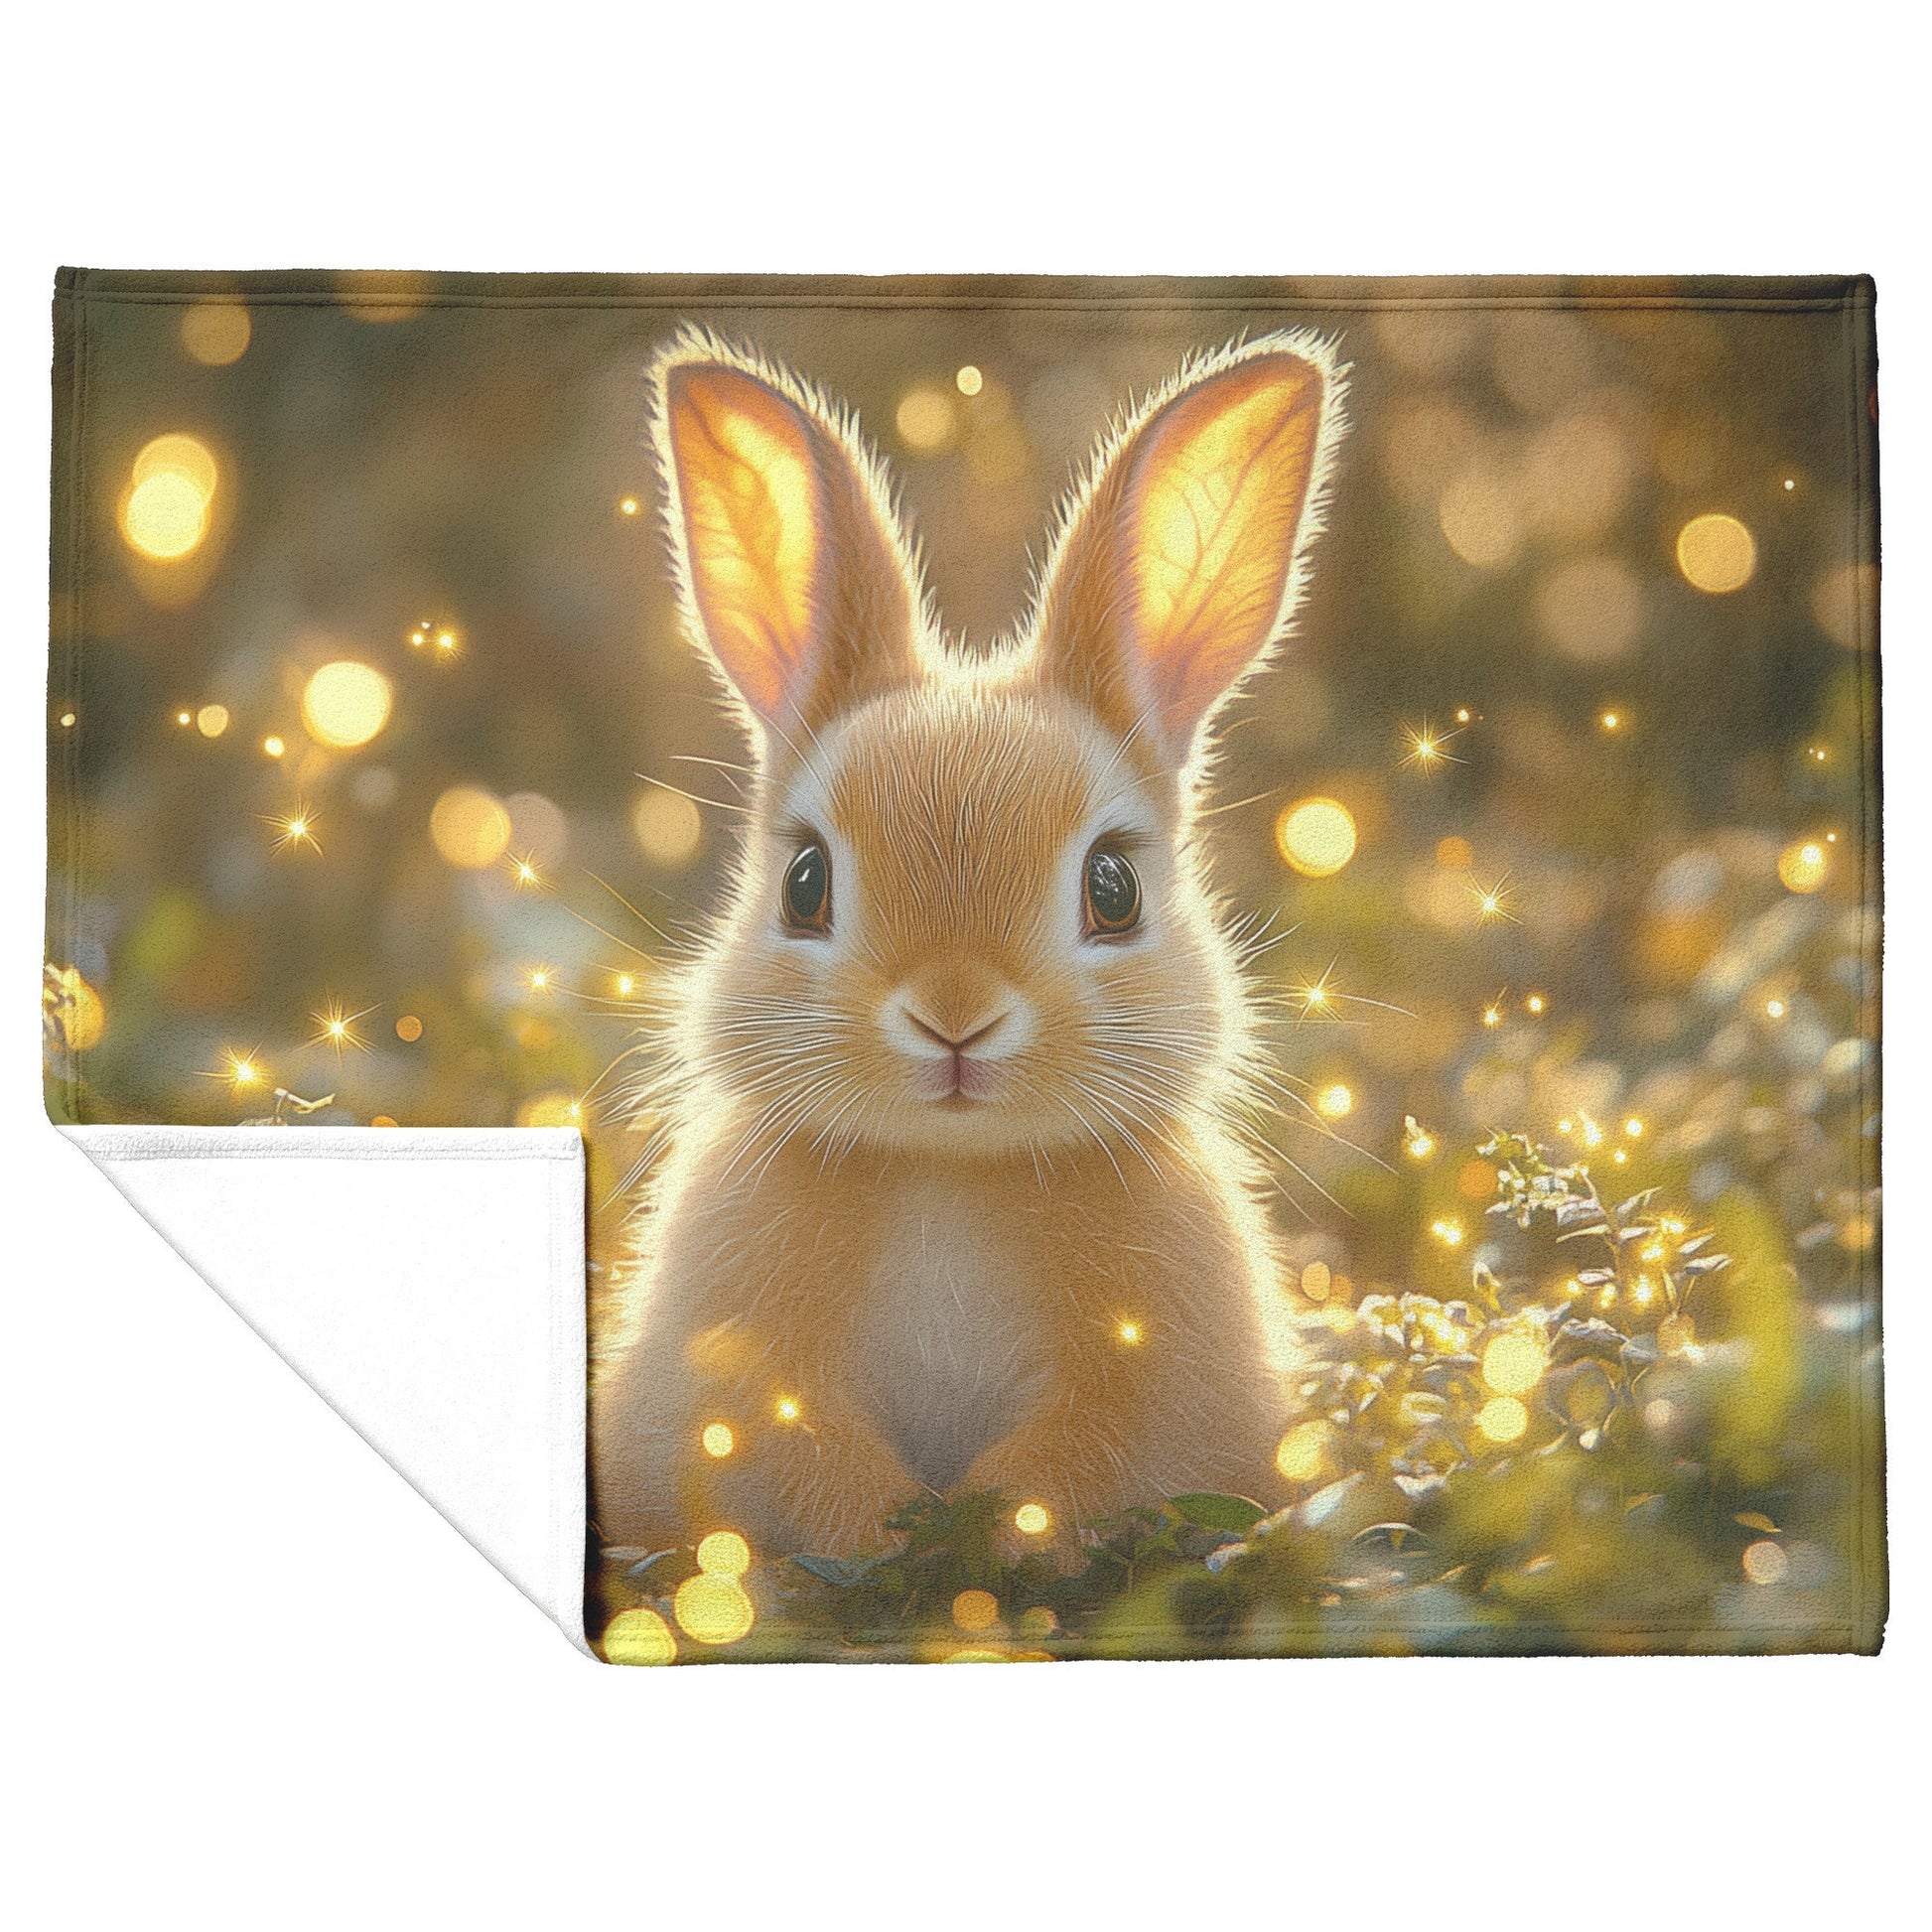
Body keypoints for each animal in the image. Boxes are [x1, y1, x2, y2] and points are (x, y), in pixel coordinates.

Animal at [591, 323, 1348, 1560]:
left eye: (1111, 887)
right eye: (804, 882)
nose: (954, 1017)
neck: (948, 1170)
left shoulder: (1150, 1385)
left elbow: (1081, 1455)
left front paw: (990, 1534)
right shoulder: (741, 1360)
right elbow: (798, 1449)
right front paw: (891, 1535)